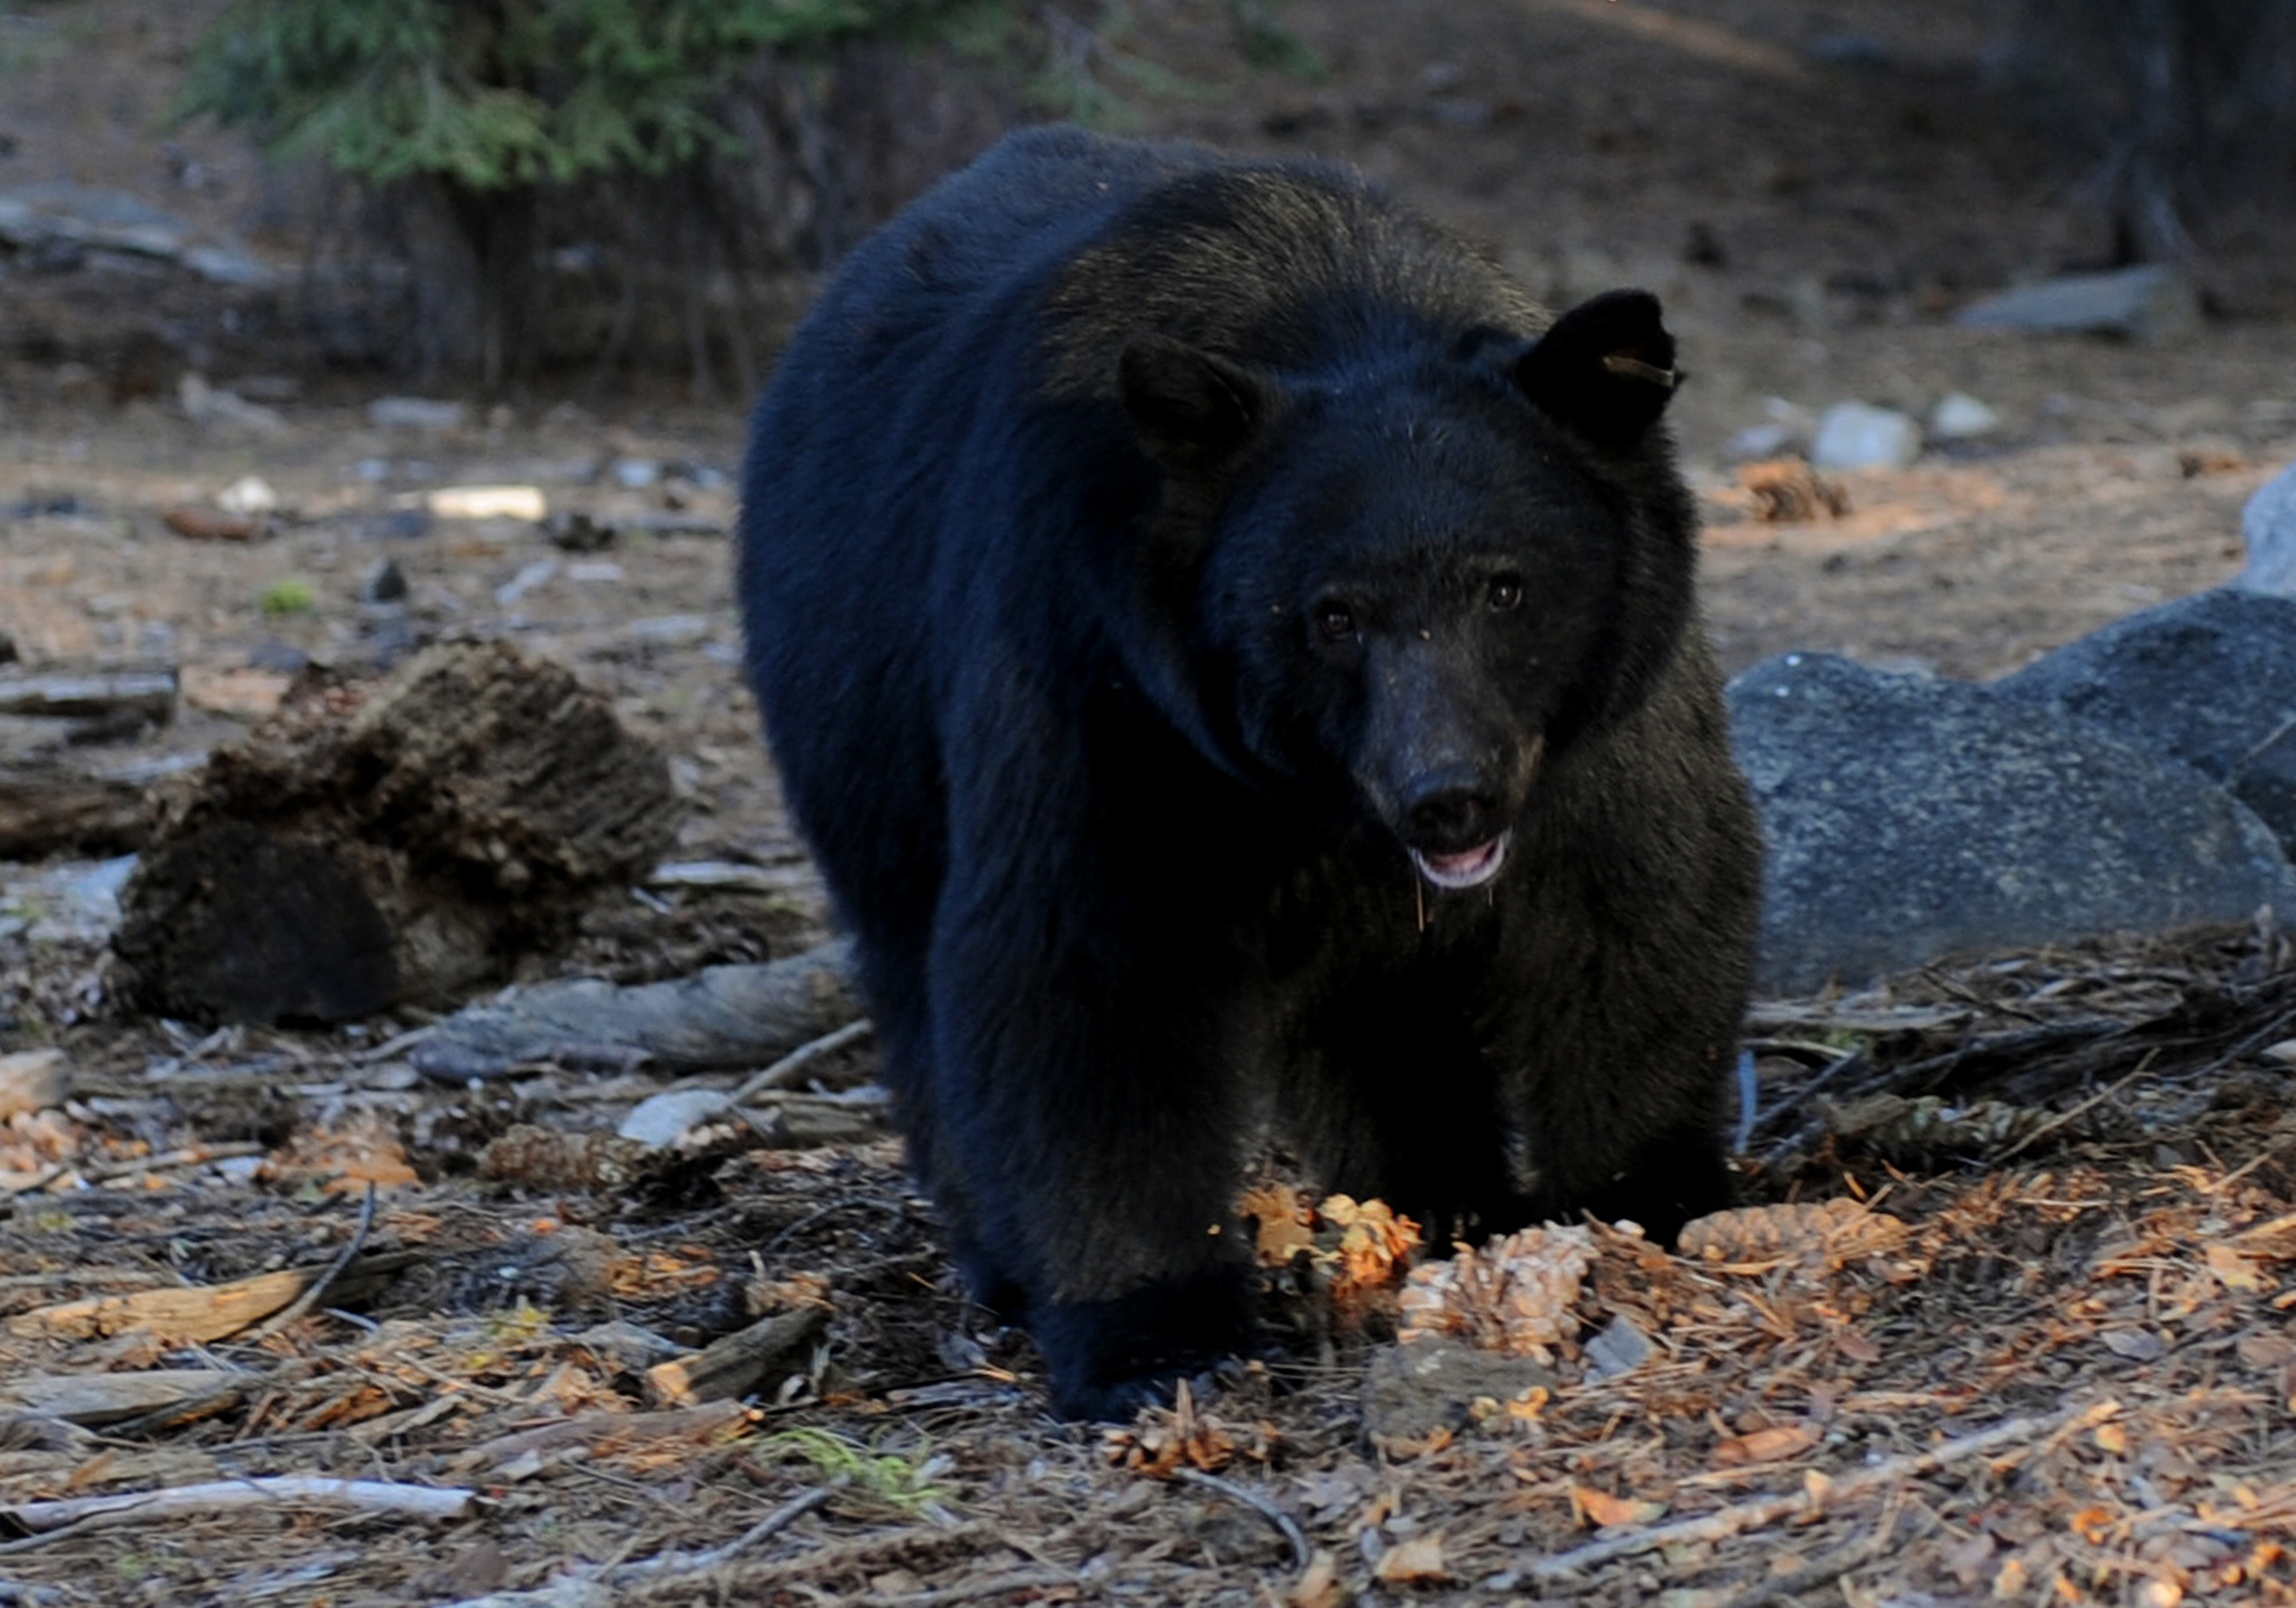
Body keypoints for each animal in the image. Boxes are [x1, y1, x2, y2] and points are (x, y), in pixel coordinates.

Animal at [738, 125, 1763, 1421]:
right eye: (1331, 614)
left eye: (1506, 585)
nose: (1449, 796)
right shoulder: (1104, 680)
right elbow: (1090, 969)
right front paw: (1154, 1335)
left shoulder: (1599, 723)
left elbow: (1632, 907)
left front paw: (1646, 1200)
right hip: (858, 724)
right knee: (917, 976)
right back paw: (1004, 1259)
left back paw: (1435, 1195)